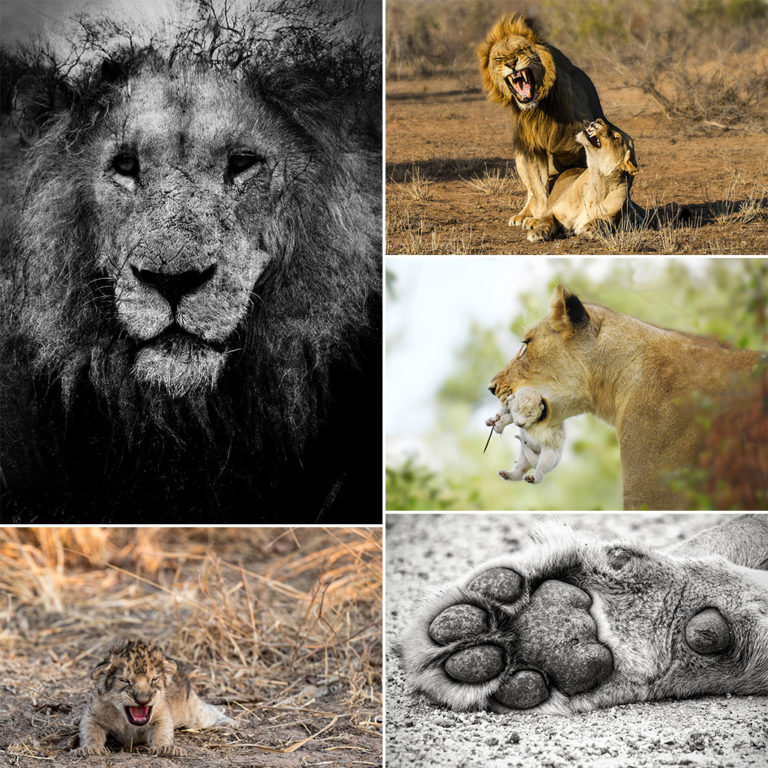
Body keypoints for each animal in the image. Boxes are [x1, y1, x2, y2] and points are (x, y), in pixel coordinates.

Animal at [478, 15, 620, 228]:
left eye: (522, 50)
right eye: (498, 59)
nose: (511, 63)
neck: (539, 108)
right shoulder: (531, 147)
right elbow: (538, 188)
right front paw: (538, 217)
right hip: (520, 156)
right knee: (532, 191)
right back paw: (523, 215)